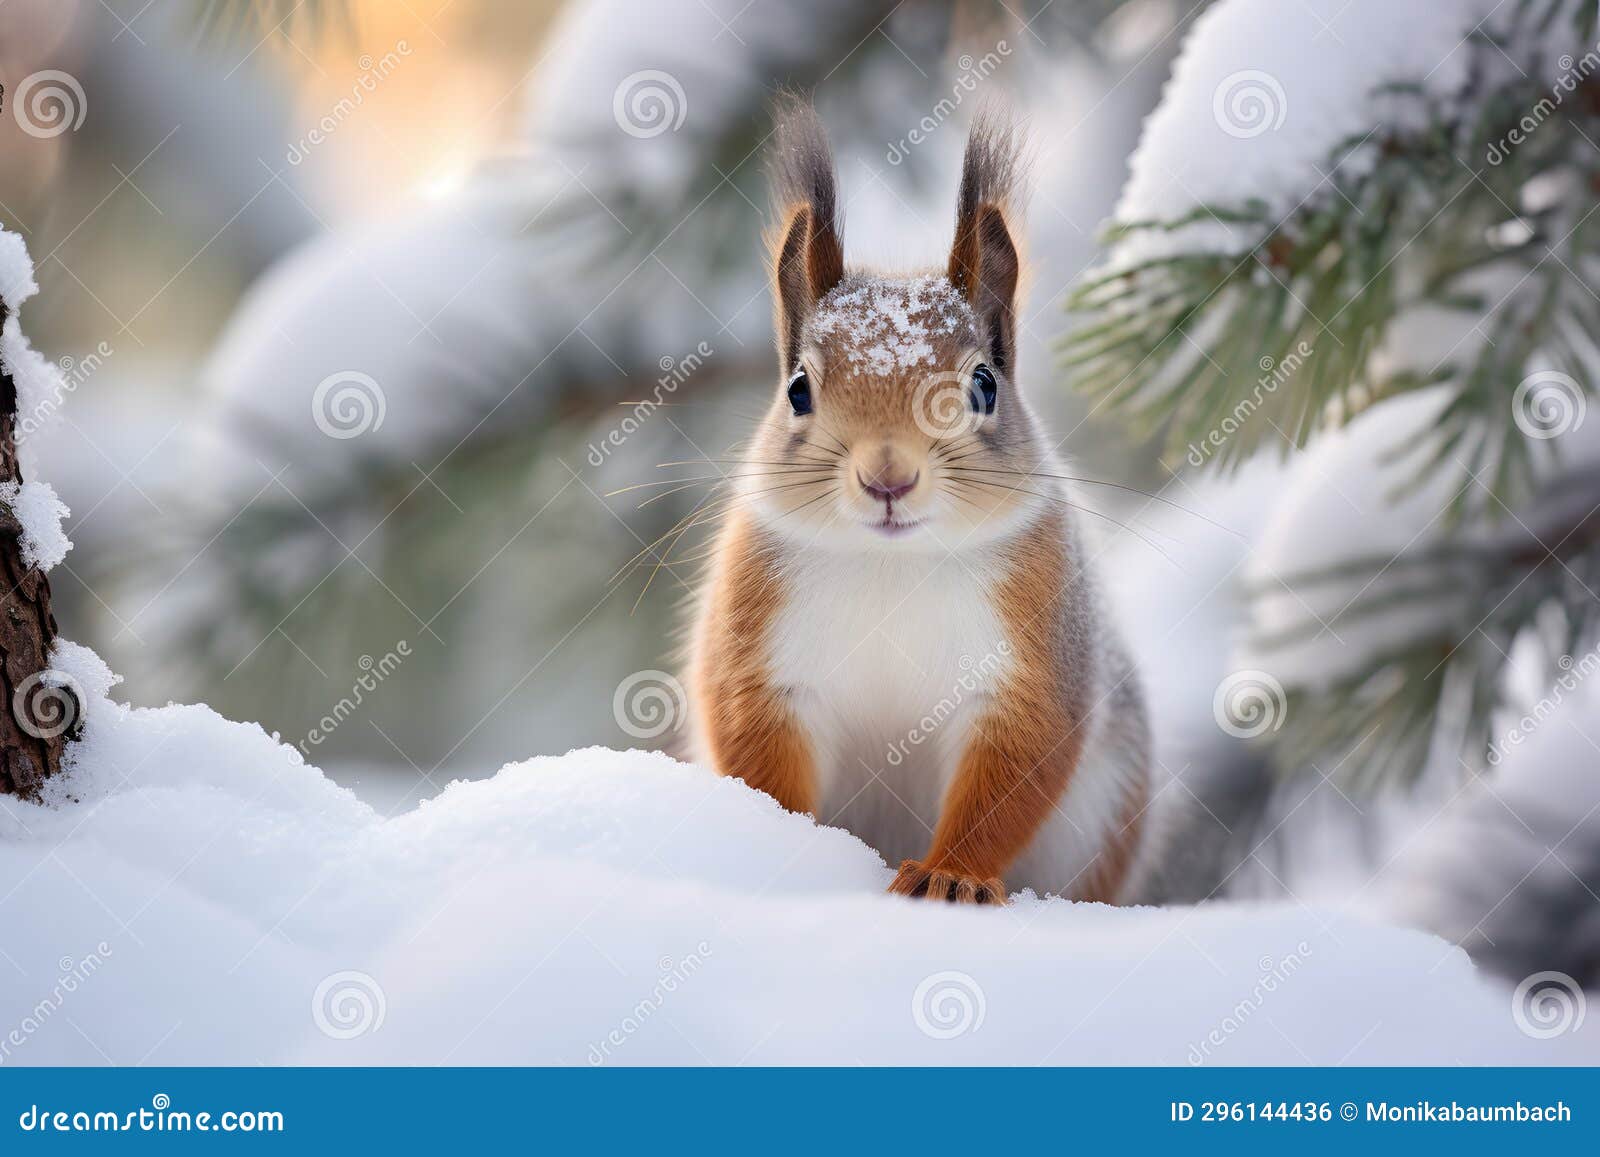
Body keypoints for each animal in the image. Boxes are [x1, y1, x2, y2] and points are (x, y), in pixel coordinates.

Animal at [683, 101, 1152, 906]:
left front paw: (952, 875)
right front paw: (785, 844)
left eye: (984, 386)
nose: (888, 478)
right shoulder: (758, 655)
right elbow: (761, 759)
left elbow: (1010, 777)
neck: (890, 567)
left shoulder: (1030, 663)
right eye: (798, 389)